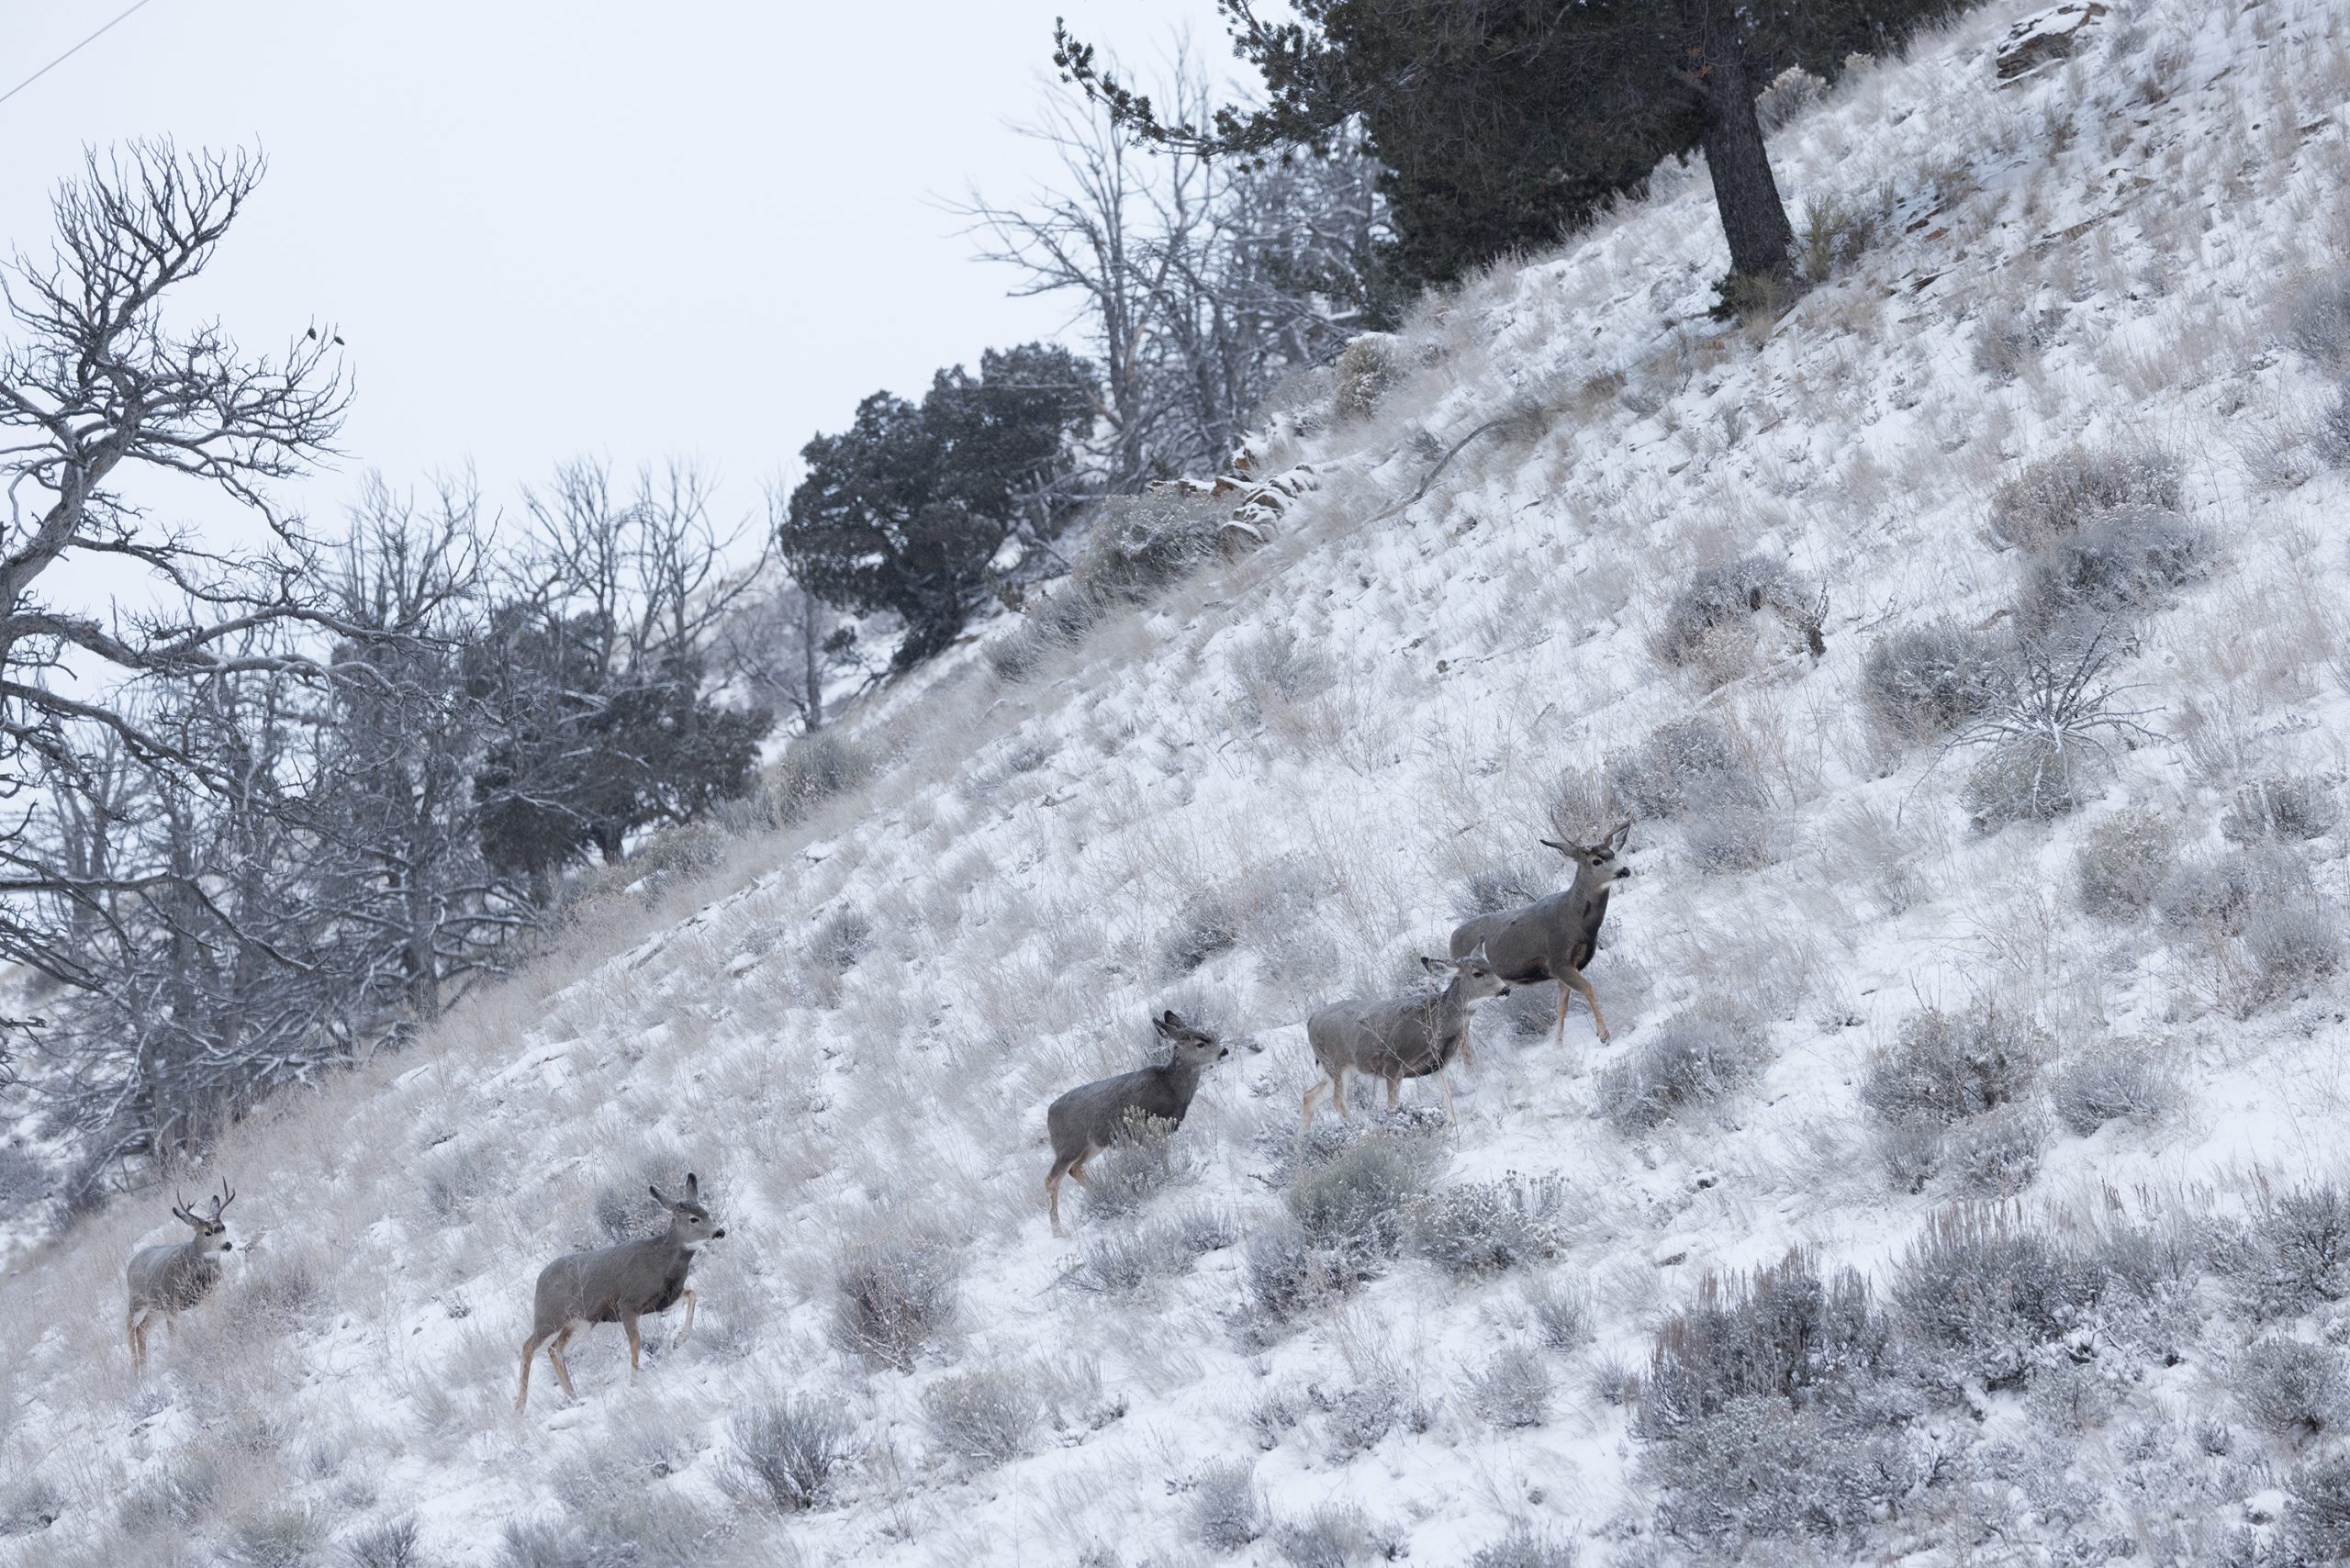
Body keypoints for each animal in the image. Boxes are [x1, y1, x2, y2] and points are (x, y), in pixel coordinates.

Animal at [125, 1181, 235, 1372]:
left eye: (223, 1227)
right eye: (207, 1232)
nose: (227, 1245)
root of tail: (131, 1263)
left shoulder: (209, 1295)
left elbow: (214, 1316)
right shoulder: (171, 1303)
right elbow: (173, 1336)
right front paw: (177, 1359)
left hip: (156, 1308)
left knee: (141, 1329)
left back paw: (144, 1368)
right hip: (138, 1300)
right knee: (130, 1327)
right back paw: (137, 1370)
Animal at [515, 1173, 725, 1412]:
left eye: (706, 1211)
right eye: (693, 1219)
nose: (720, 1231)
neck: (662, 1263)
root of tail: (539, 1280)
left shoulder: (663, 1301)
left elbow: (692, 1294)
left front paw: (679, 1340)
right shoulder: (627, 1304)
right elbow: (635, 1342)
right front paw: (634, 1382)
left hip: (581, 1321)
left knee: (555, 1348)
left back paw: (573, 1395)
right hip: (549, 1316)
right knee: (528, 1346)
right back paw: (520, 1406)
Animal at [1045, 1011, 1229, 1233]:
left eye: (1207, 1035)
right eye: (1200, 1043)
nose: (1224, 1051)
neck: (1171, 1087)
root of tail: (1049, 1114)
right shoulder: (1152, 1126)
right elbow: (1162, 1155)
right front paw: (1171, 1179)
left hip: (1091, 1147)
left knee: (1074, 1170)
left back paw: (1107, 1192)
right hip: (1069, 1146)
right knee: (1051, 1179)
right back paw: (1057, 1229)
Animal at [1301, 944, 1510, 1132]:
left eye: (1492, 967)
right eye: (1477, 973)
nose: (1506, 990)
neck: (1435, 1023)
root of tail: (1310, 1022)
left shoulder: (1437, 1066)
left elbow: (1447, 1100)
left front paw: (1453, 1129)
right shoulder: (1392, 1064)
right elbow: (1393, 1107)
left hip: (1340, 1071)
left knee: (1309, 1096)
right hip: (1337, 1064)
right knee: (1337, 1101)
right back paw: (1362, 1129)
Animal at [1448, 821, 1633, 1050]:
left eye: (1613, 854)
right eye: (1596, 860)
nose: (1625, 870)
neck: (1575, 918)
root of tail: (1451, 939)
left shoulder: (1566, 968)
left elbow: (1561, 1008)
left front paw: (1557, 1046)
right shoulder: (1558, 961)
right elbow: (1589, 989)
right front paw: (1604, 1035)